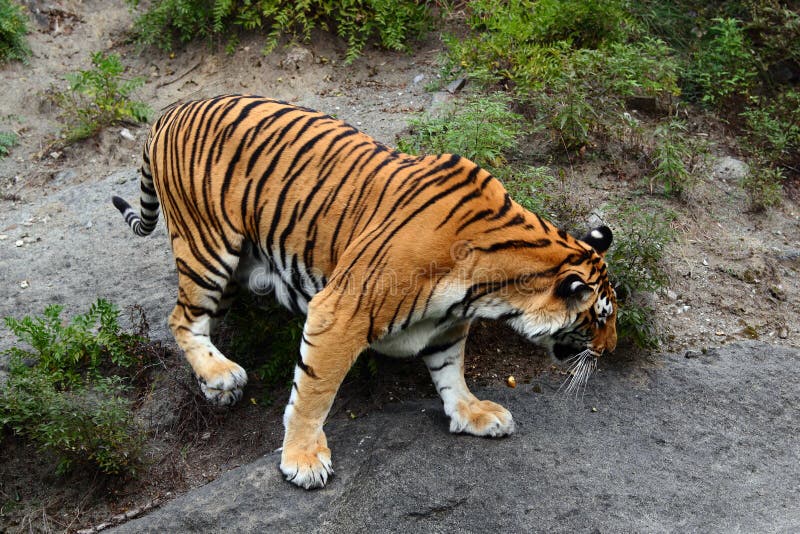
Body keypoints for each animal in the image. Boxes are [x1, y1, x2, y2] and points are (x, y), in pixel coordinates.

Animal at [112, 94, 617, 489]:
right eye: (600, 317)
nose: (611, 350)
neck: (488, 288)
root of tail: (169, 111)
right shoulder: (341, 311)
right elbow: (315, 392)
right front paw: (302, 459)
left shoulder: (447, 323)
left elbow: (451, 371)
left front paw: (472, 413)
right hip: (207, 248)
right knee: (181, 318)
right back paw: (221, 375)